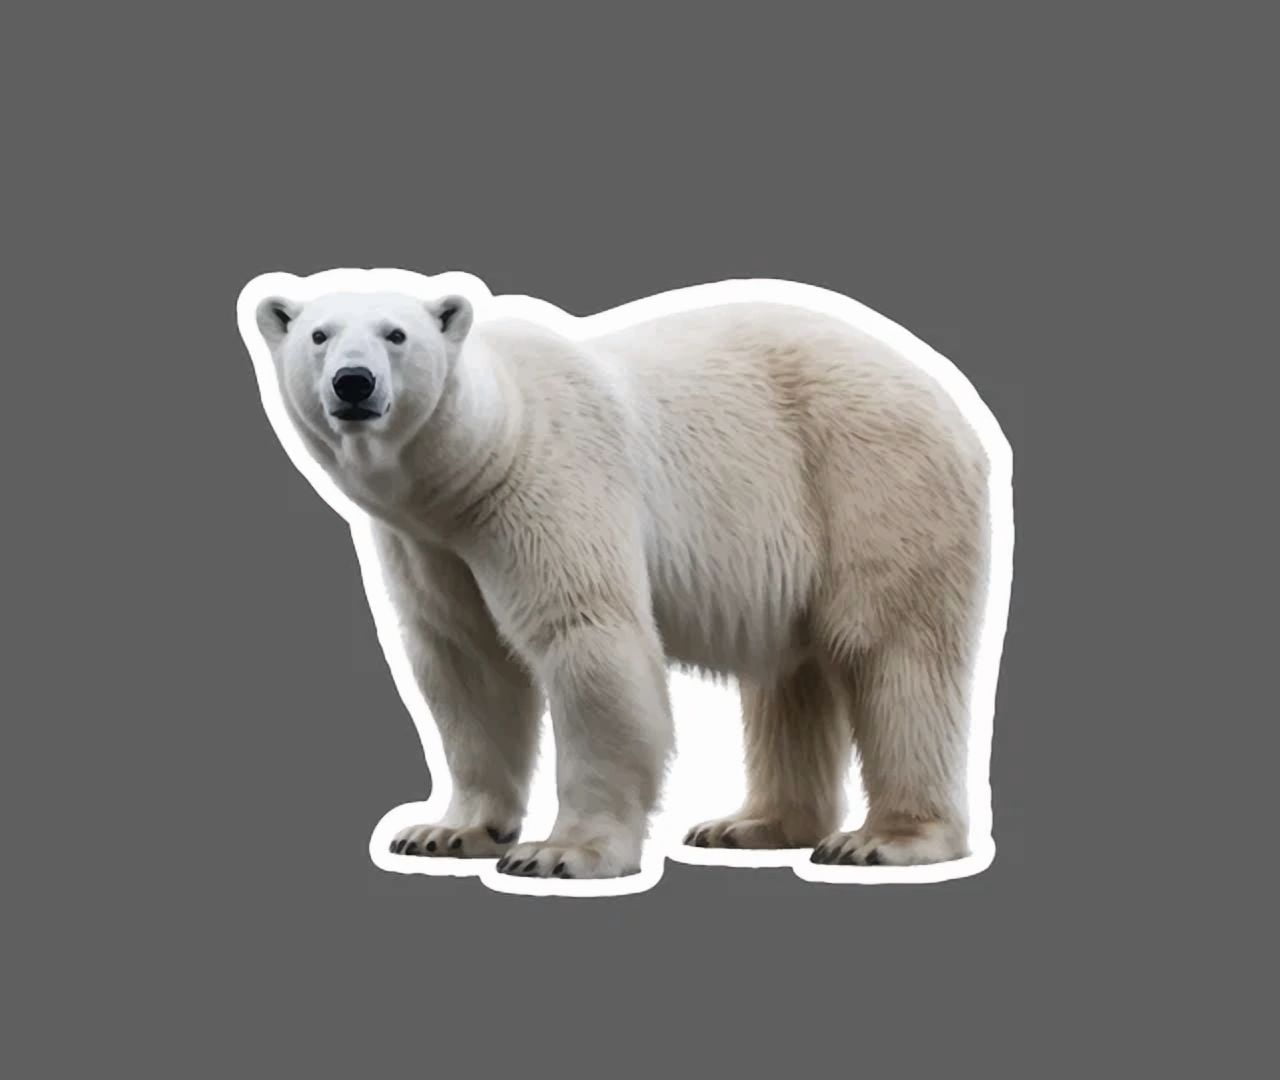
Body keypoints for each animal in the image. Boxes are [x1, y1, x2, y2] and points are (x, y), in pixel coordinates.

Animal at [253, 284, 992, 879]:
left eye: (396, 334)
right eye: (318, 335)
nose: (353, 384)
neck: (473, 469)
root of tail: (949, 396)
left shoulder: (544, 485)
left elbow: (586, 637)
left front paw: (561, 853)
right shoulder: (429, 547)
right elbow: (467, 666)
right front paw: (445, 832)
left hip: (868, 478)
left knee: (892, 648)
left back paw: (884, 839)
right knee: (793, 675)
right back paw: (748, 825)